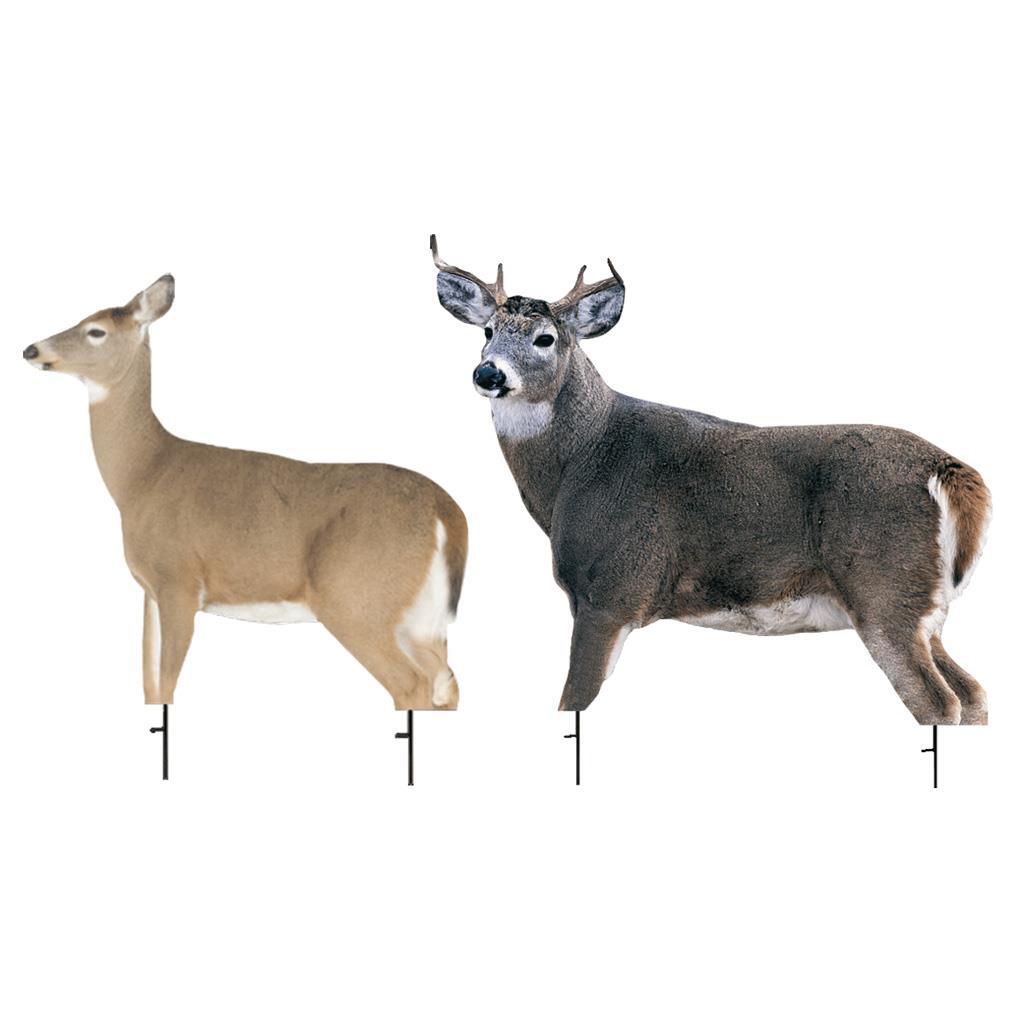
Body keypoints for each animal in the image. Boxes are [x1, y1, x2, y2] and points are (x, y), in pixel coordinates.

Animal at [23, 274, 467, 756]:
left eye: (96, 331)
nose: (31, 350)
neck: (142, 476)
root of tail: (446, 511)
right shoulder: (150, 590)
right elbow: (149, 684)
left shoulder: (179, 580)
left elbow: (167, 683)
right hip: (421, 618)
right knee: (446, 685)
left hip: (355, 599)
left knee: (411, 685)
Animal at [430, 236, 991, 734]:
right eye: (486, 331)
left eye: (544, 338)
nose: (488, 373)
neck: (582, 463)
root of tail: (950, 469)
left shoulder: (612, 589)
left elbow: (573, 701)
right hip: (922, 604)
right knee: (973, 693)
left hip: (884, 587)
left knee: (939, 701)